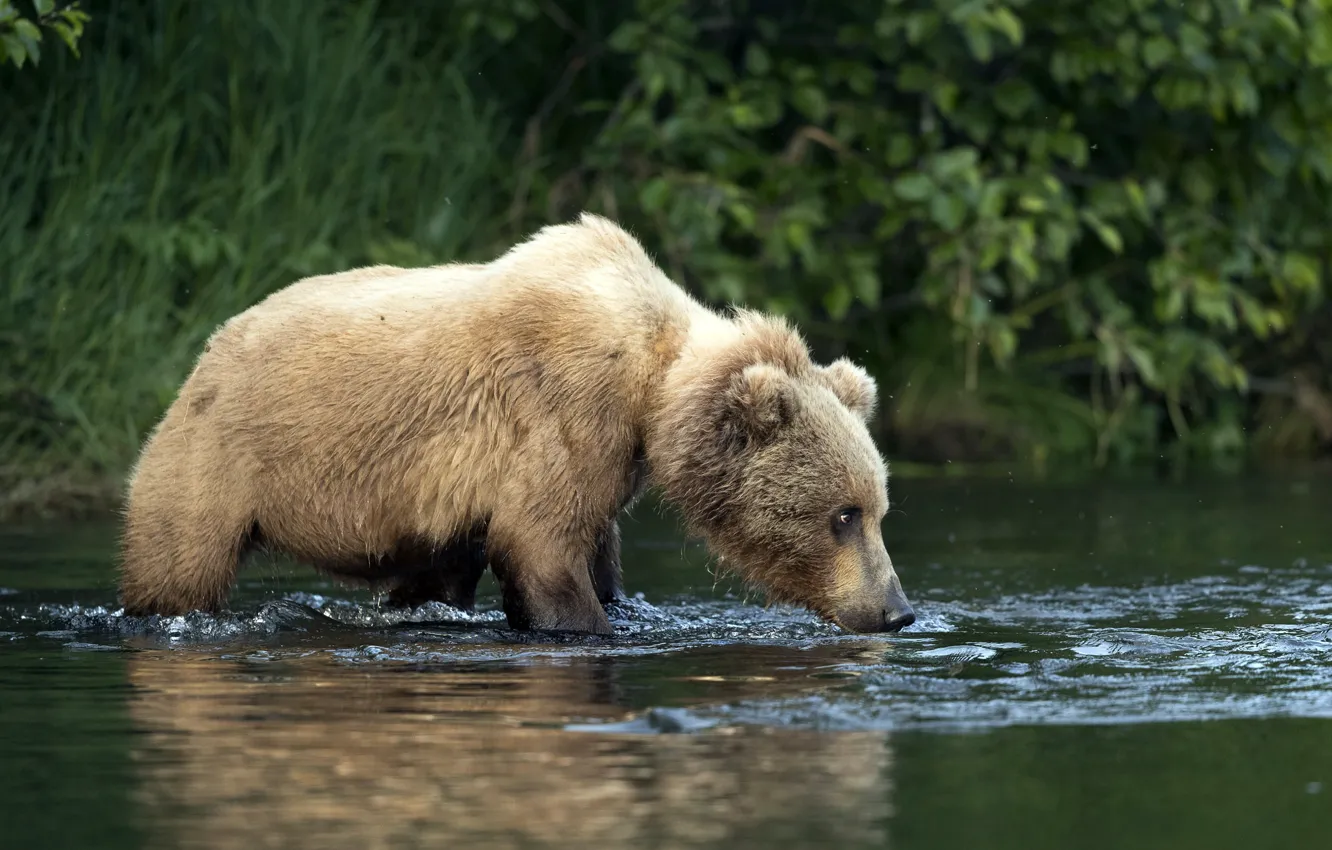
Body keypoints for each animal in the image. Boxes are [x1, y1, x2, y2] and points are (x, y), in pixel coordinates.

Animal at [117, 213, 915, 636]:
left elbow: (591, 550)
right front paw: (582, 622)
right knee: (178, 563)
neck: (651, 387)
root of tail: (209, 349)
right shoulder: (566, 411)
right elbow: (541, 541)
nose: (897, 610)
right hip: (219, 459)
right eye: (843, 515)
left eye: (878, 509)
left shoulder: (612, 460)